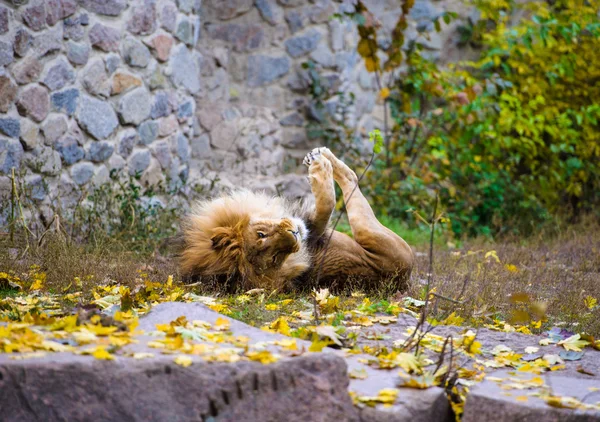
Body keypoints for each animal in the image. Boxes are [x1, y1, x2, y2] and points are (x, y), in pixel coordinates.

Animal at [179, 148, 412, 290]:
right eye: (275, 258)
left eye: (261, 234)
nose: (294, 233)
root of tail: (401, 281)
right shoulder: (316, 228)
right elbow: (328, 202)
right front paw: (319, 169)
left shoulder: (309, 226)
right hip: (377, 236)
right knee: (352, 179)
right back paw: (322, 160)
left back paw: (319, 154)